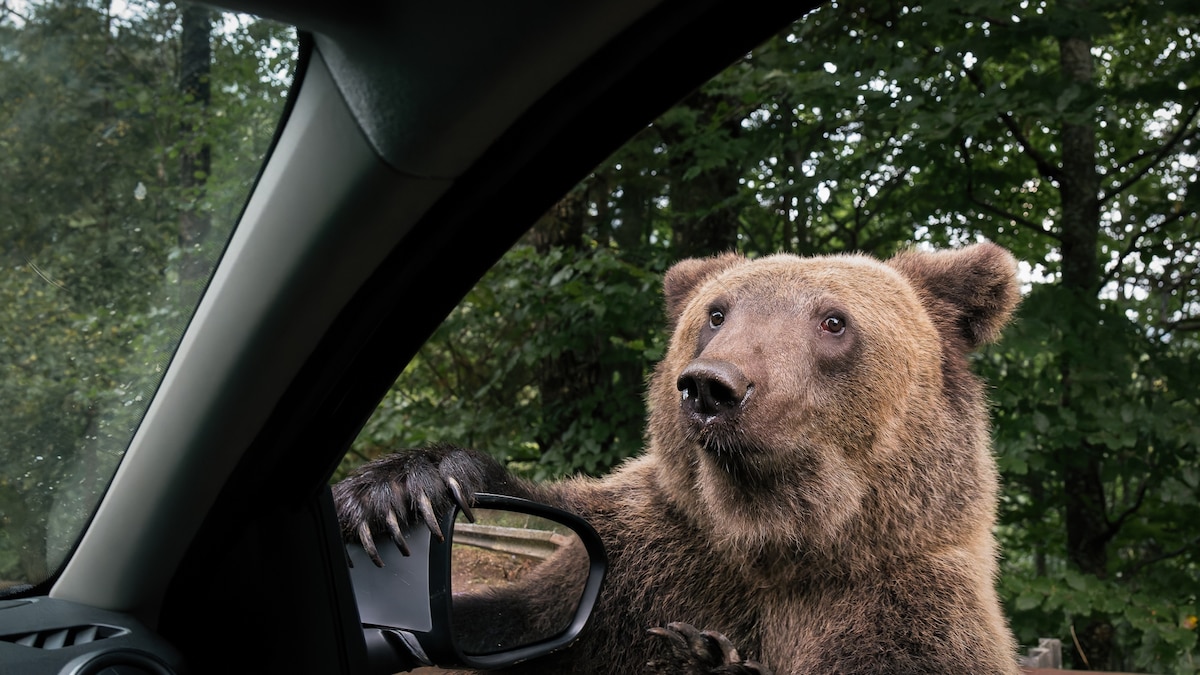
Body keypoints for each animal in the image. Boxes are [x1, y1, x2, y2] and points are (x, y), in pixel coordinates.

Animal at [333, 242, 1023, 674]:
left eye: (834, 320)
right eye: (716, 313)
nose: (712, 386)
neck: (773, 539)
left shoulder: (903, 612)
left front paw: (709, 660)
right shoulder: (636, 564)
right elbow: (513, 617)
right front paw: (400, 492)